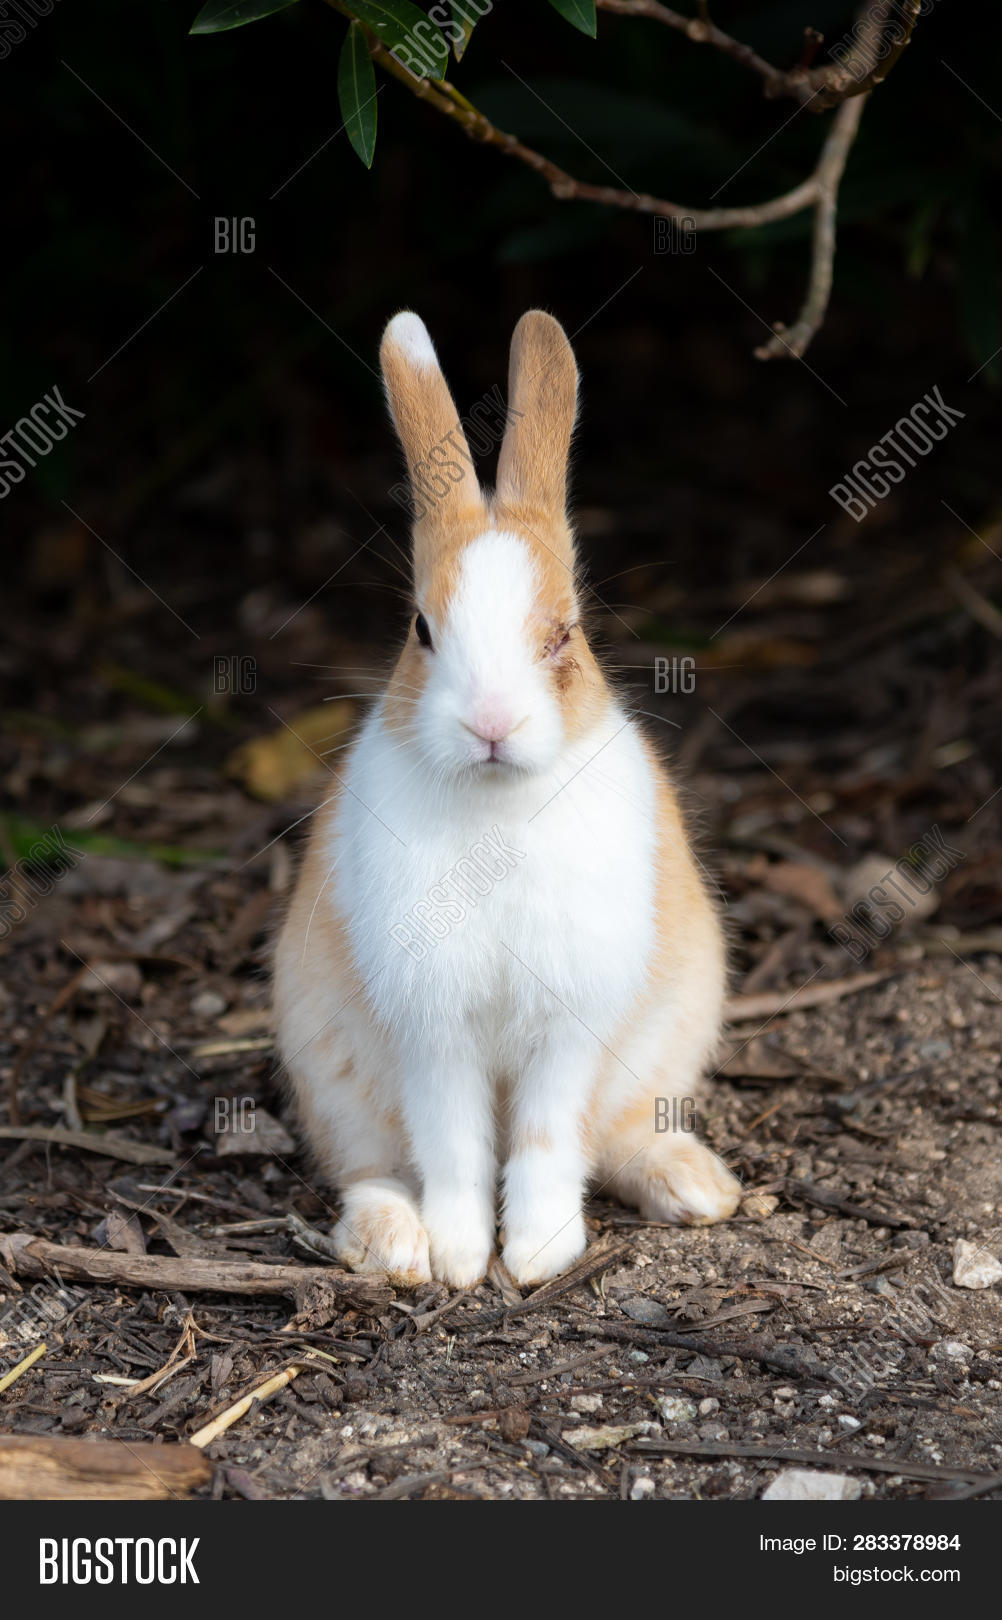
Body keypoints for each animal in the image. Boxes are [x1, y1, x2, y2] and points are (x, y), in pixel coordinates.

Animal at [273, 308, 742, 1289]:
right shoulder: (431, 1027)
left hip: (662, 1045)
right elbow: (454, 1148)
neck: (495, 805)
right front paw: (460, 1258)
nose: (490, 723)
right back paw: (395, 1246)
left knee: (618, 1136)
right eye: (421, 630)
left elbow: (547, 1140)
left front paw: (534, 1256)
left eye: (566, 632)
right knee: (373, 1169)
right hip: (332, 1076)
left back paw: (694, 1187)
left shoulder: (570, 1025)